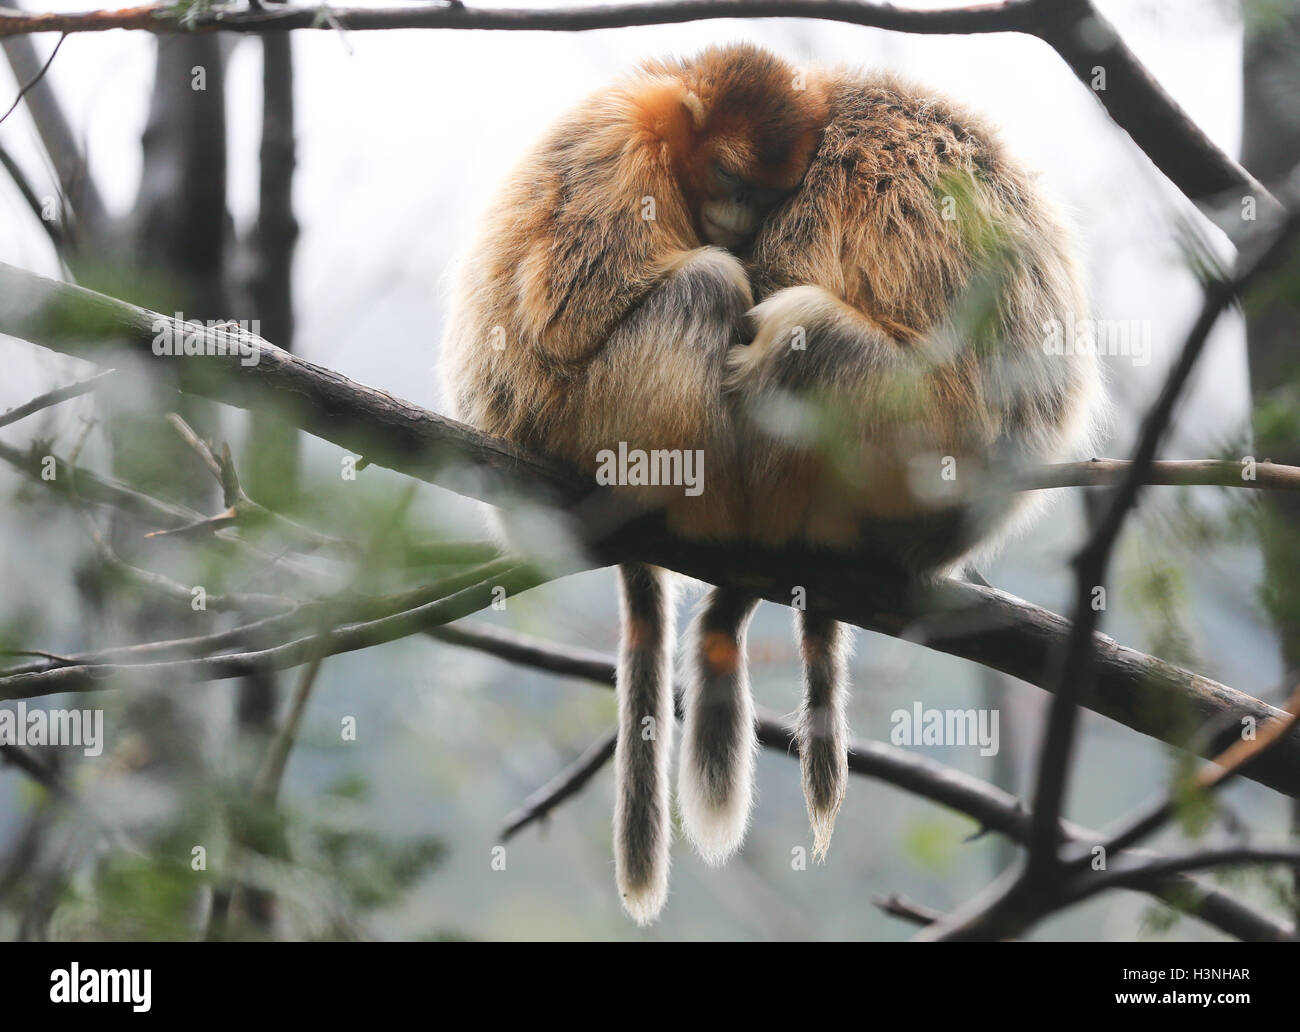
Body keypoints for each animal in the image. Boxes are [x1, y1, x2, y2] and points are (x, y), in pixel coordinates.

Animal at [440, 45, 1102, 925]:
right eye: (730, 177)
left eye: (756, 189)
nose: (738, 214)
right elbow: (571, 310)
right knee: (729, 296)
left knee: (783, 324)